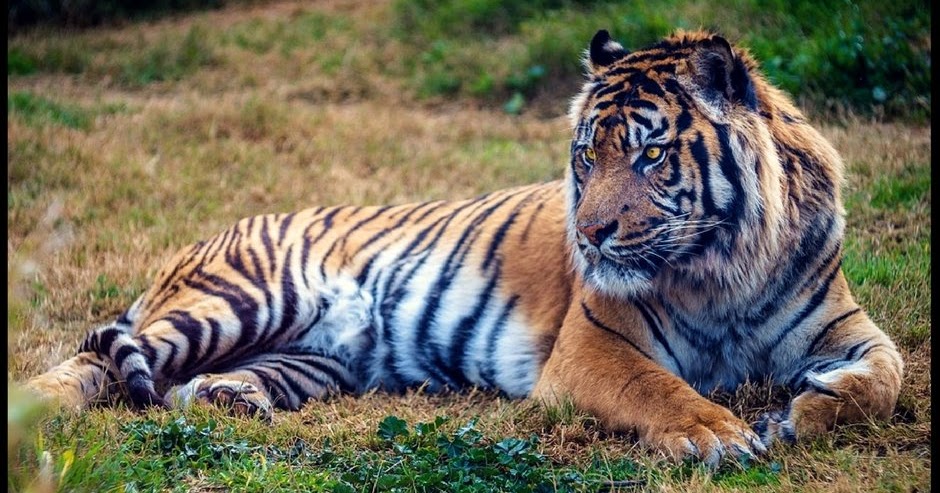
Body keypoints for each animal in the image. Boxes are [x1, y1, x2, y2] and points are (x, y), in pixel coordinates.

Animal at [24, 29, 903, 466]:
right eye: (587, 155)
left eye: (651, 154)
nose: (591, 234)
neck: (727, 270)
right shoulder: (592, 350)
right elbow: (657, 388)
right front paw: (718, 433)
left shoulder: (842, 324)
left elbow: (885, 378)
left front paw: (805, 410)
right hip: (241, 297)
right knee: (99, 358)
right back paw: (38, 407)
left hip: (312, 358)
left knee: (181, 386)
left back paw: (227, 397)